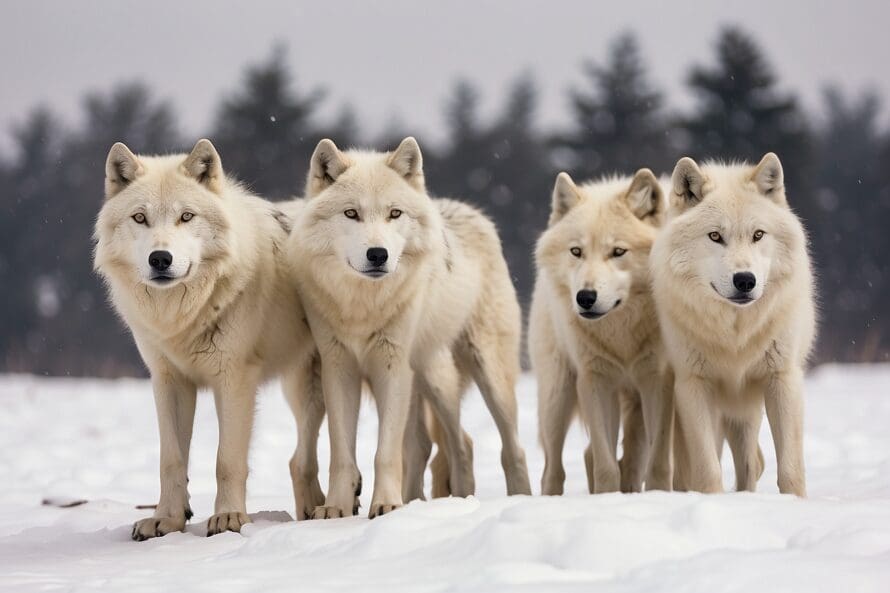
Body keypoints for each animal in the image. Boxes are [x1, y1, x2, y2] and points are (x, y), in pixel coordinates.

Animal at [94, 139, 323, 539]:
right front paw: (167, 520)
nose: (160, 258)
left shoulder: (234, 380)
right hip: (301, 390)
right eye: (140, 218)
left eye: (186, 217)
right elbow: (170, 459)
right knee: (299, 461)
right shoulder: (168, 381)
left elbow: (226, 460)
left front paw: (229, 518)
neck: (184, 317)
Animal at [287, 137, 531, 519]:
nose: (378, 254)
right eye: (351, 214)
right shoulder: (338, 367)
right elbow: (342, 453)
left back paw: (508, 501)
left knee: (490, 445)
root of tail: (470, 211)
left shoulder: (392, 364)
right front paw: (337, 508)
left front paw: (386, 505)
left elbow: (385, 451)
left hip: (469, 374)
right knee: (431, 444)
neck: (364, 306)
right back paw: (429, 500)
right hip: (421, 382)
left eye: (395, 214)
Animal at [530, 170, 674, 495]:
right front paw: (608, 498)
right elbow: (606, 464)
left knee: (624, 458)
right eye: (576, 251)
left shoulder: (656, 381)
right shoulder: (595, 380)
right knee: (553, 469)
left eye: (618, 251)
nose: (585, 297)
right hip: (557, 396)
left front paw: (658, 494)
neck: (621, 334)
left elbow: (657, 461)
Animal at [651, 153, 816, 496]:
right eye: (715, 236)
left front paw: (796, 503)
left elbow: (790, 469)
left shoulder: (782, 379)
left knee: (750, 463)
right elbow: (707, 469)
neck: (735, 334)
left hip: (745, 409)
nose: (745, 280)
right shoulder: (693, 385)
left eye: (758, 235)